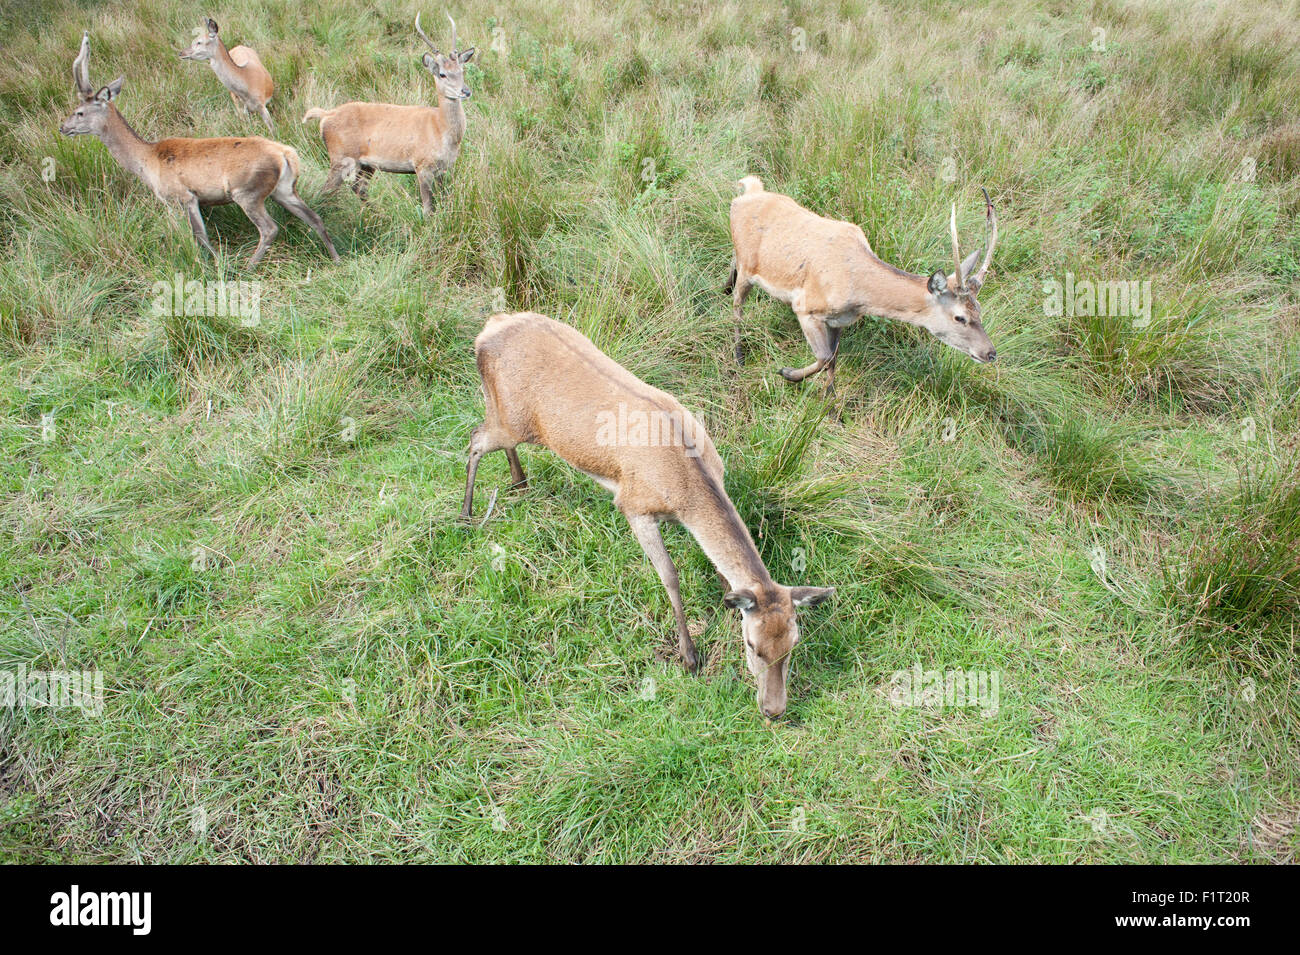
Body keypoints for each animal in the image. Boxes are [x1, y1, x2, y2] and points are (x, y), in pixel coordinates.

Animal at [60, 32, 339, 269]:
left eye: (79, 112)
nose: (63, 127)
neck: (146, 162)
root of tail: (286, 155)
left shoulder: (181, 196)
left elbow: (199, 236)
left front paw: (219, 263)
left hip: (247, 191)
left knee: (270, 228)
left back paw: (249, 266)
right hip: (284, 189)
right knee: (314, 217)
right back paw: (335, 257)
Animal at [302, 13, 473, 215]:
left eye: (461, 70)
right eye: (442, 74)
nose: (465, 91)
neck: (440, 129)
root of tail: (325, 115)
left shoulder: (446, 168)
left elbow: (444, 200)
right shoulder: (422, 164)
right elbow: (427, 208)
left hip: (365, 165)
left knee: (359, 187)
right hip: (341, 158)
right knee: (325, 192)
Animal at [462, 312, 835, 719]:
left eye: (794, 642)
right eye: (753, 646)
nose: (774, 709)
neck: (685, 487)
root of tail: (490, 326)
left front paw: (724, 601)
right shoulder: (634, 505)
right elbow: (669, 576)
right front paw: (689, 657)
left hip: (508, 415)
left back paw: (520, 481)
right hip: (511, 419)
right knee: (475, 438)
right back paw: (466, 515)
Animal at [727, 176, 1000, 398]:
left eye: (980, 309)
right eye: (959, 317)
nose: (991, 353)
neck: (857, 292)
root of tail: (745, 193)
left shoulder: (838, 320)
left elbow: (833, 359)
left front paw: (831, 406)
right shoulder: (805, 307)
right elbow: (825, 357)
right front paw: (787, 373)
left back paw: (724, 287)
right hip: (749, 269)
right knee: (737, 307)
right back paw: (738, 356)